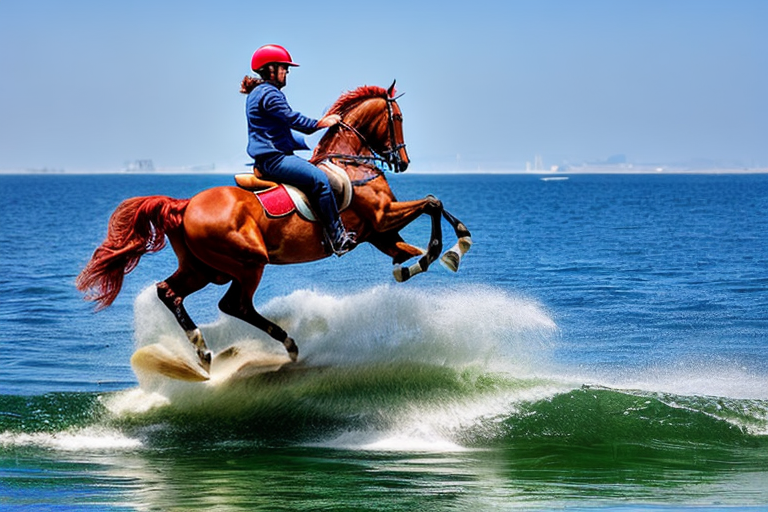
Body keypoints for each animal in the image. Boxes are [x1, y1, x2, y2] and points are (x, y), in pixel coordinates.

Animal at [76, 81, 472, 374]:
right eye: (398, 117)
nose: (402, 161)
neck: (350, 161)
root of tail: (185, 205)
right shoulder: (383, 216)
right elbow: (433, 203)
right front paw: (452, 248)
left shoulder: (380, 235)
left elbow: (410, 246)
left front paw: (413, 265)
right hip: (246, 262)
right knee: (234, 304)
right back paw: (285, 345)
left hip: (204, 268)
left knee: (169, 291)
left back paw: (203, 351)